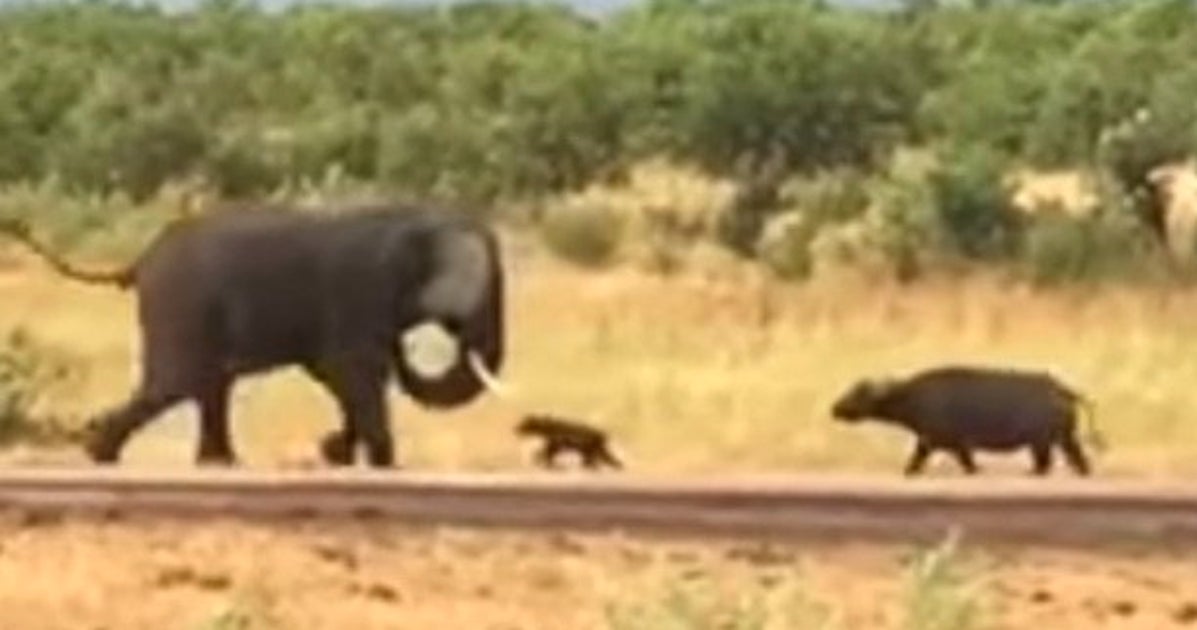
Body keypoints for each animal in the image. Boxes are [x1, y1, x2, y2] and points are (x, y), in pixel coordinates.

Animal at [0, 202, 506, 468]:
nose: (407, 349)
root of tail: (140, 261)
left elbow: (342, 375)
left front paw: (339, 455)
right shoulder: (360, 291)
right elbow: (351, 369)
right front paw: (379, 463)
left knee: (206, 386)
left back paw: (216, 463)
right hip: (181, 306)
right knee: (176, 383)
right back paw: (101, 453)